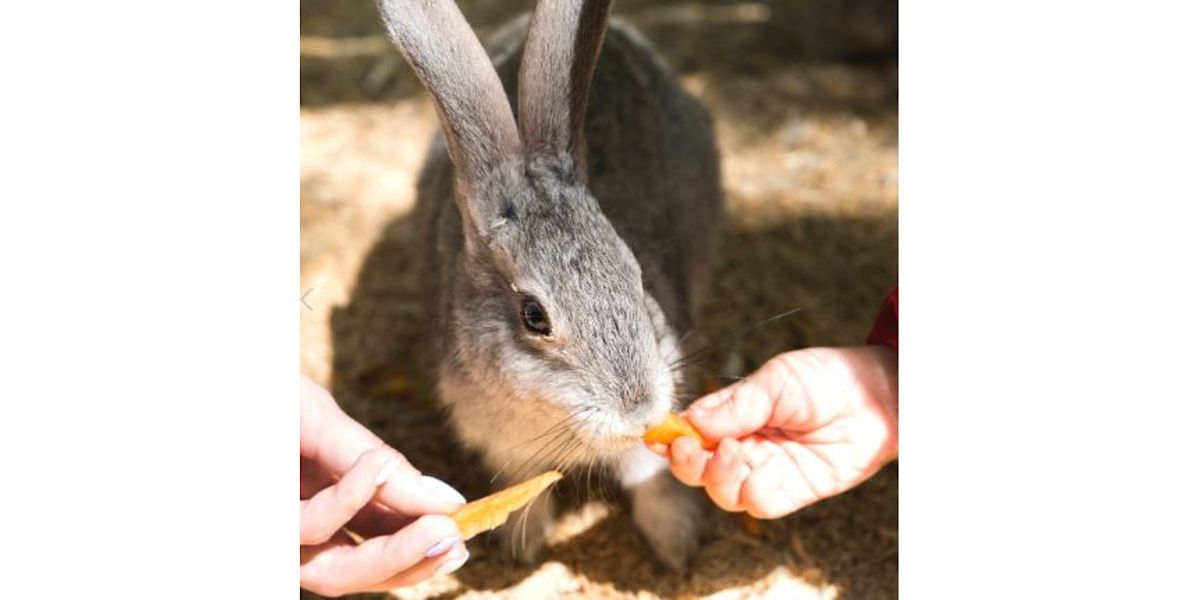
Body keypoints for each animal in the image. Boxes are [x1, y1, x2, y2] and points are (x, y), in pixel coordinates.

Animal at [375, 0, 723, 570]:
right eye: (534, 316)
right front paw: (525, 545)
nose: (640, 409)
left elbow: (651, 478)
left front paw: (676, 545)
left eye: (637, 276)